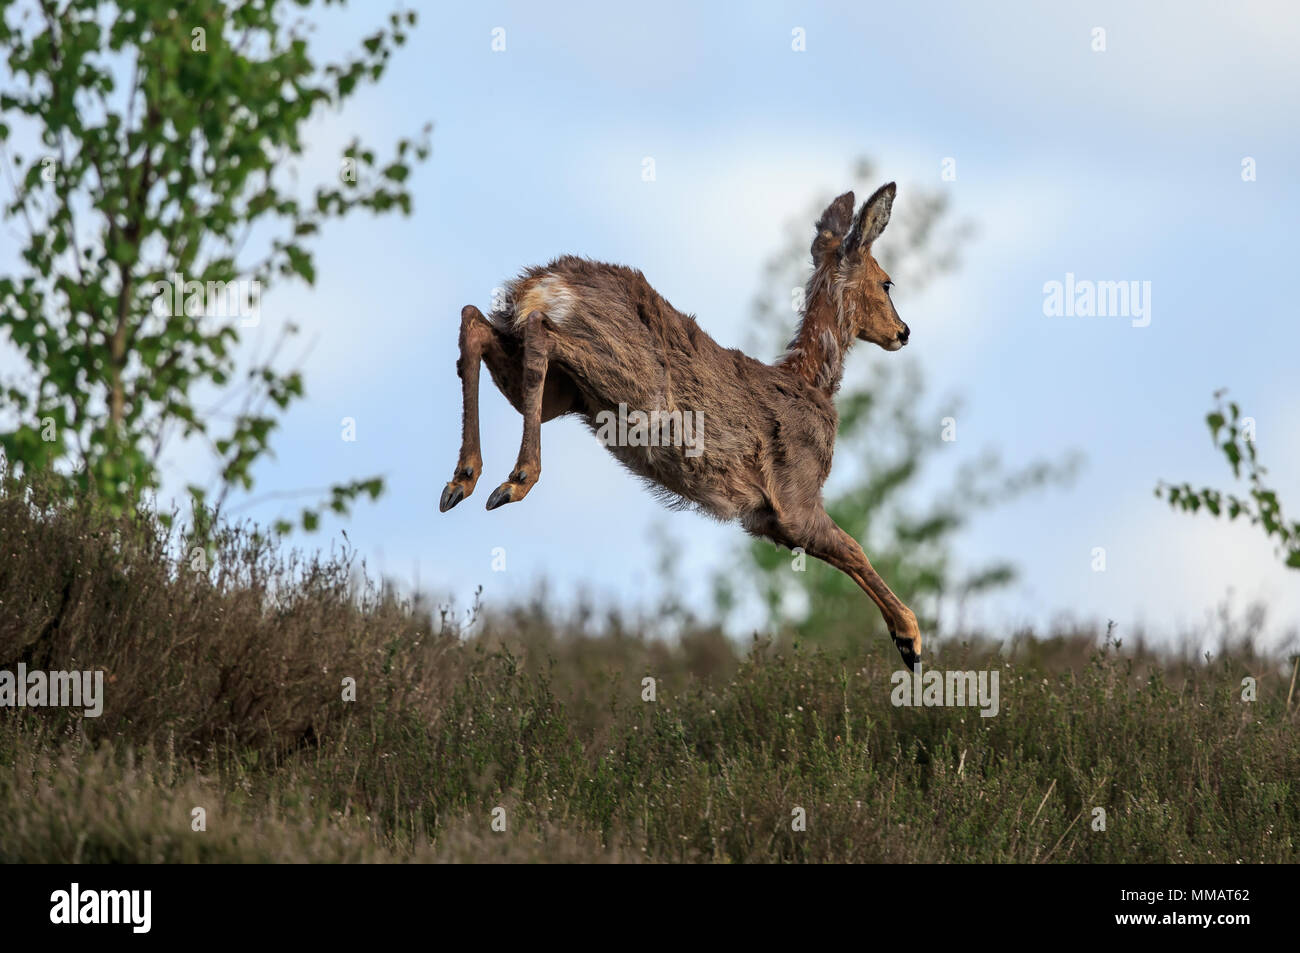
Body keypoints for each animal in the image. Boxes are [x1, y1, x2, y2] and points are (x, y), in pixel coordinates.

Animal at [439, 183, 921, 669]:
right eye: (887, 282)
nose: (903, 331)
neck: (811, 382)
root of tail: (540, 284)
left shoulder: (765, 519)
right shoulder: (794, 500)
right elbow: (855, 548)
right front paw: (910, 640)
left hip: (564, 393)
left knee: (475, 321)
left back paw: (462, 482)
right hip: (628, 376)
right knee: (539, 333)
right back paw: (515, 481)